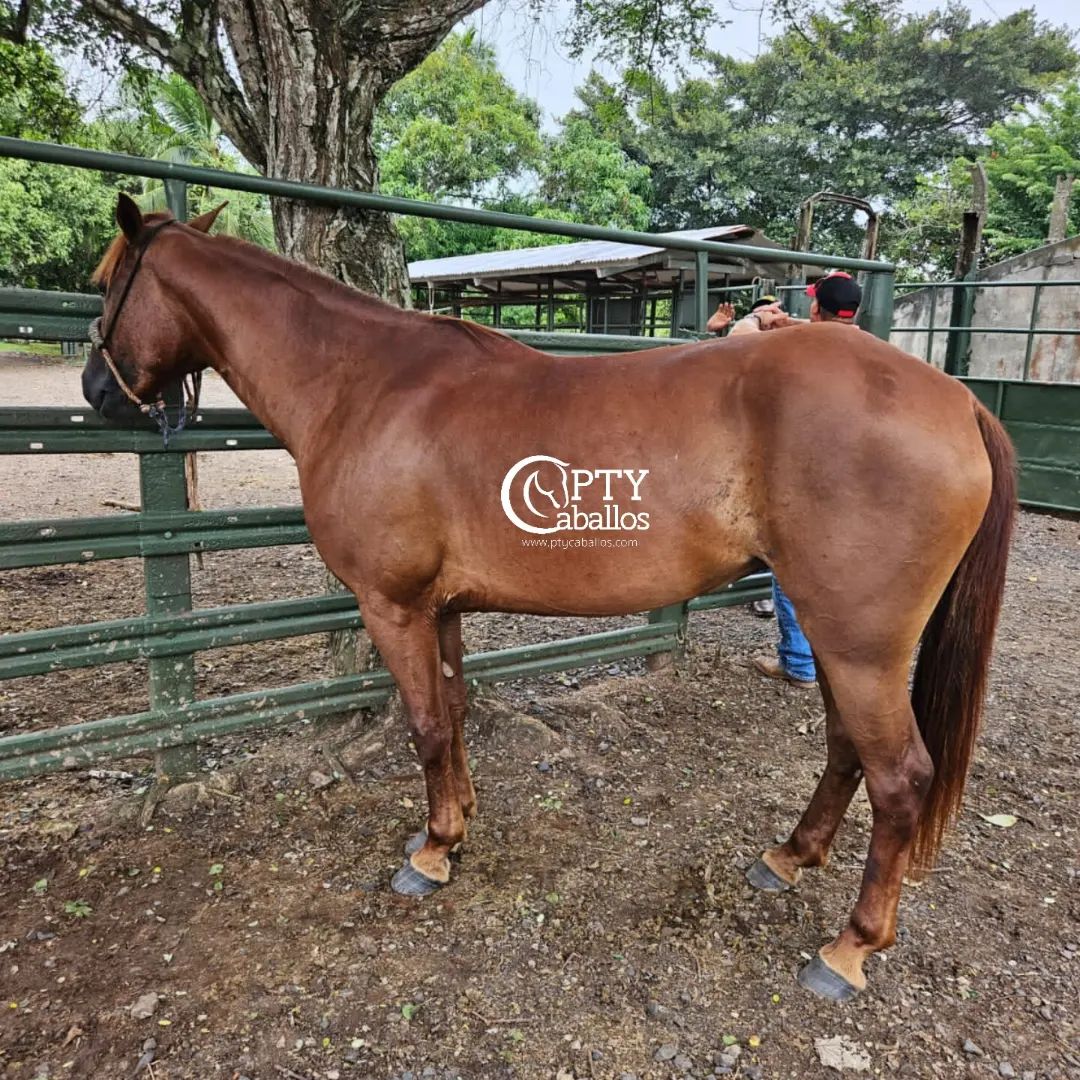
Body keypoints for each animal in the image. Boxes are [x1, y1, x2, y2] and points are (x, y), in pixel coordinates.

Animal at [82, 194, 1016, 1001]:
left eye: (102, 283)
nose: (95, 392)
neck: (367, 386)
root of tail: (956, 401)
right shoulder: (441, 611)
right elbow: (453, 714)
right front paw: (456, 824)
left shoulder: (393, 607)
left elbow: (424, 727)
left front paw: (430, 853)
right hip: (838, 634)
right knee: (846, 748)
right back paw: (787, 857)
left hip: (861, 642)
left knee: (900, 778)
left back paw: (848, 949)